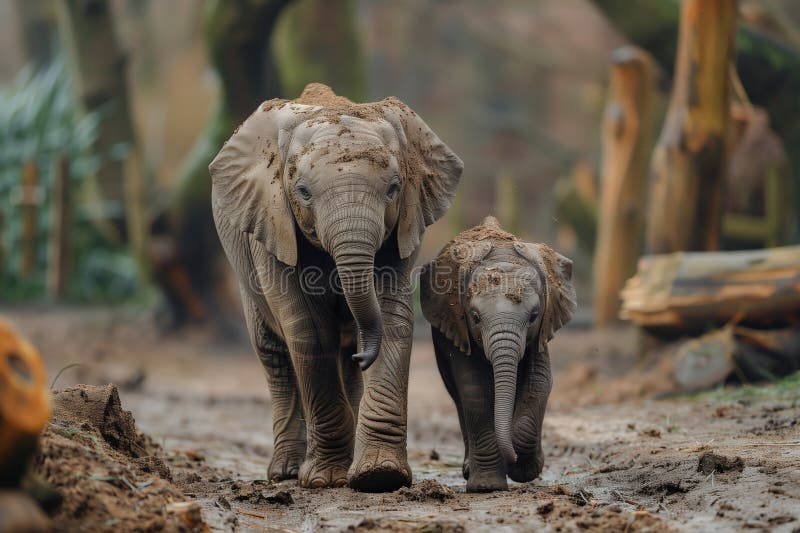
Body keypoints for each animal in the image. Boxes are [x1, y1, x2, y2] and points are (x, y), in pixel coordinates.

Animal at [209, 83, 463, 491]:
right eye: (302, 191)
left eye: (394, 189)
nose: (364, 355)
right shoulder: (272, 222)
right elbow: (309, 331)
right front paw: (325, 479)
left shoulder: (405, 224)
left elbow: (392, 319)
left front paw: (380, 475)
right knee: (273, 354)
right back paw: (286, 473)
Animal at [420, 216, 576, 492]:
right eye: (475, 317)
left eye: (534, 316)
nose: (511, 456)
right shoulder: (458, 327)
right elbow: (473, 390)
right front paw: (487, 486)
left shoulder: (541, 331)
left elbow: (539, 383)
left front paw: (524, 468)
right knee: (459, 396)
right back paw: (469, 470)